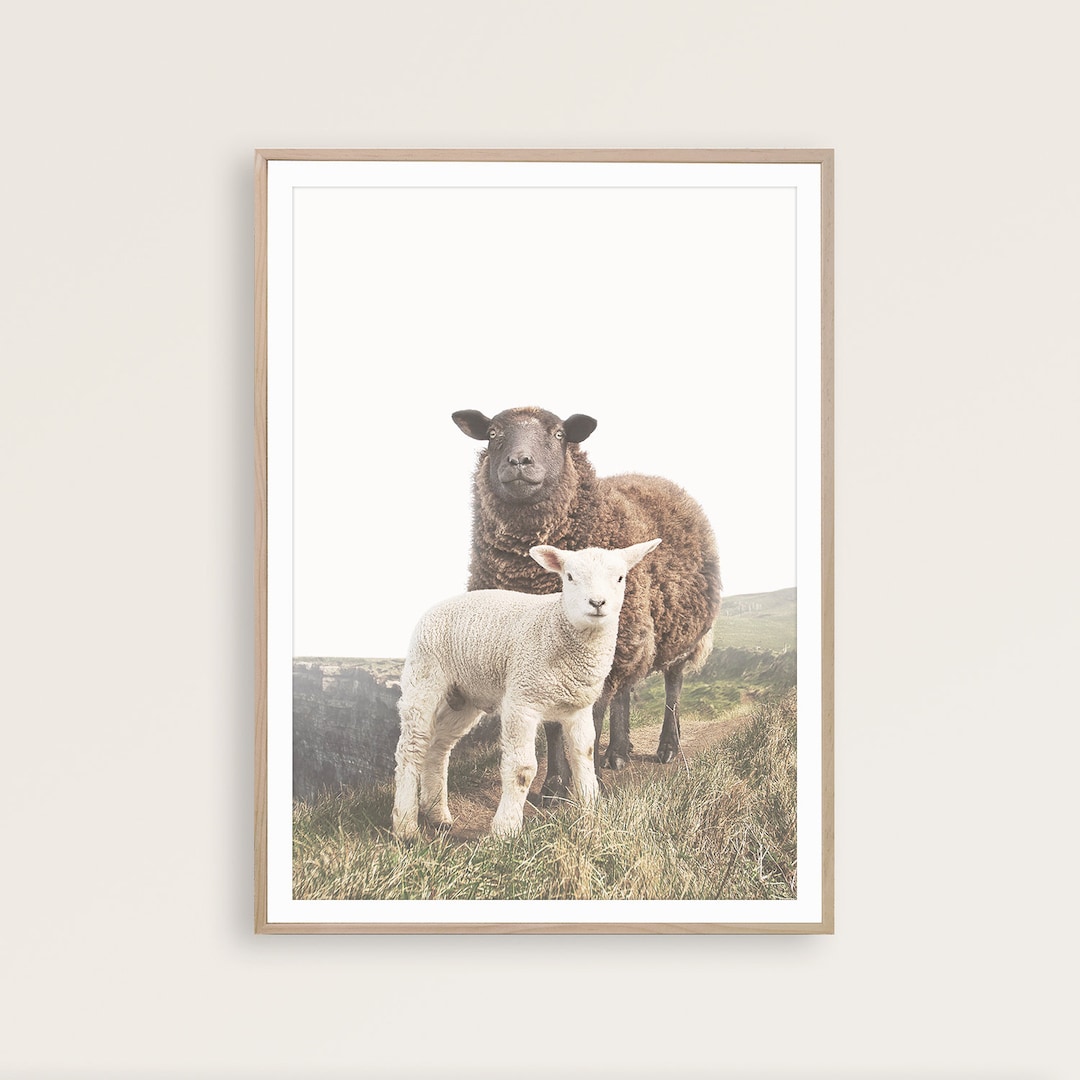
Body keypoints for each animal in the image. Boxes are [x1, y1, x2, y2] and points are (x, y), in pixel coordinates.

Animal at [392, 539, 661, 840]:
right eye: (569, 577)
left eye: (620, 577)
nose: (597, 603)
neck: (557, 626)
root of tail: (438, 605)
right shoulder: (522, 702)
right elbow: (523, 769)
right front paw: (505, 829)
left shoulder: (578, 708)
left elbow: (584, 757)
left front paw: (592, 815)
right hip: (424, 677)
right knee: (412, 748)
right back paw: (406, 826)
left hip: (464, 696)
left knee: (438, 747)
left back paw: (437, 815)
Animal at [452, 406, 722, 804]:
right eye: (492, 433)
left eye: (559, 434)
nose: (519, 461)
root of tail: (658, 479)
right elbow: (554, 725)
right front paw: (553, 787)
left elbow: (589, 719)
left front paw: (584, 786)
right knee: (625, 692)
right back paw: (618, 753)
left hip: (678, 630)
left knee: (673, 685)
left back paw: (667, 747)